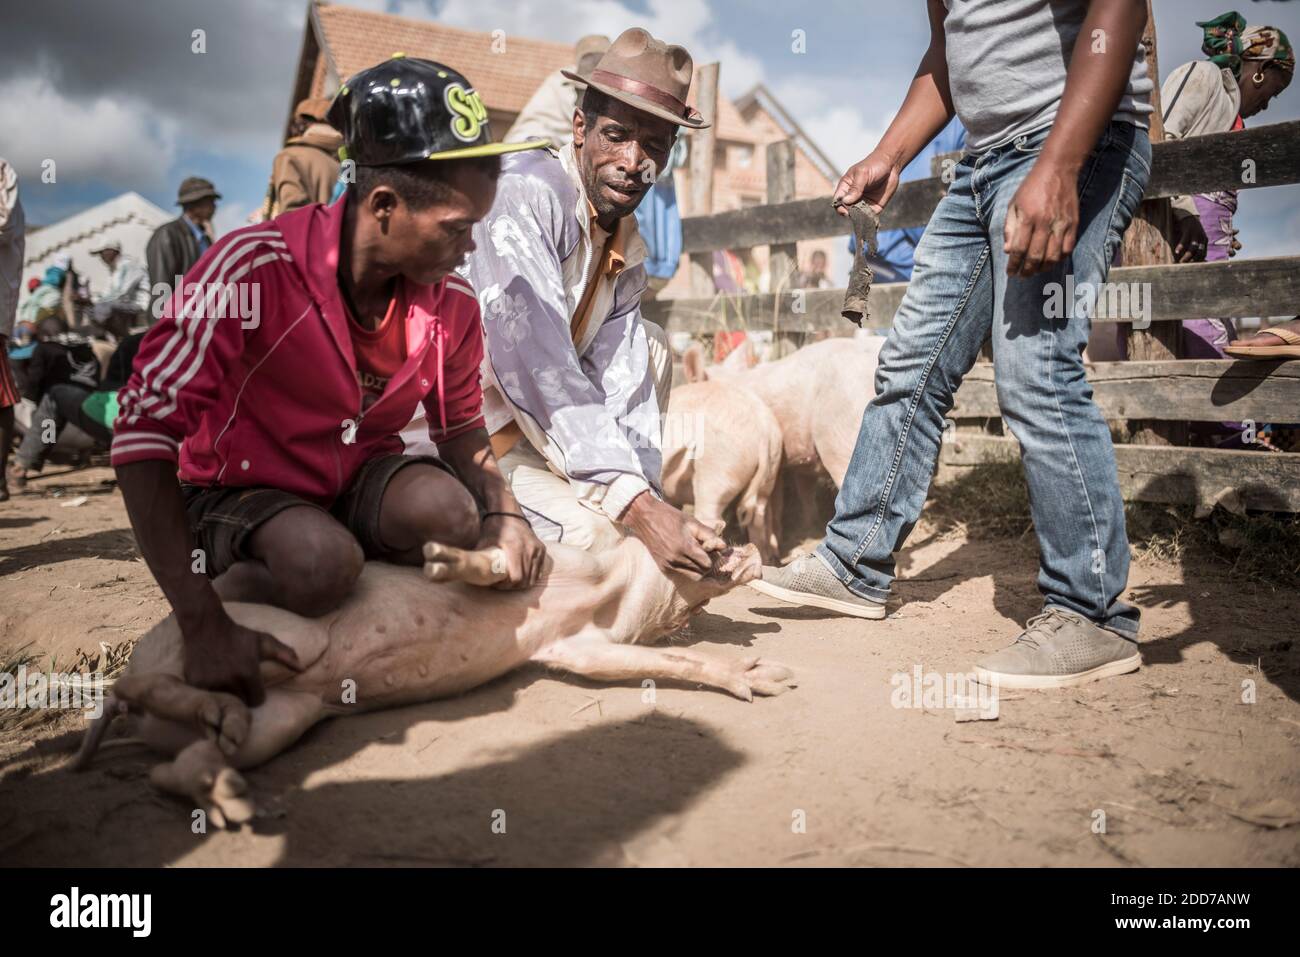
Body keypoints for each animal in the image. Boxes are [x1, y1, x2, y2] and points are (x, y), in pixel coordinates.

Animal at [73, 537, 794, 826]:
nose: (749, 551)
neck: (609, 589)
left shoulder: (579, 650)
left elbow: (663, 664)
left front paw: (771, 679)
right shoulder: (557, 569)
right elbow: (493, 565)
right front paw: (441, 561)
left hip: (285, 715)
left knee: (181, 760)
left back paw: (232, 795)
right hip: (282, 639)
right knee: (145, 692)